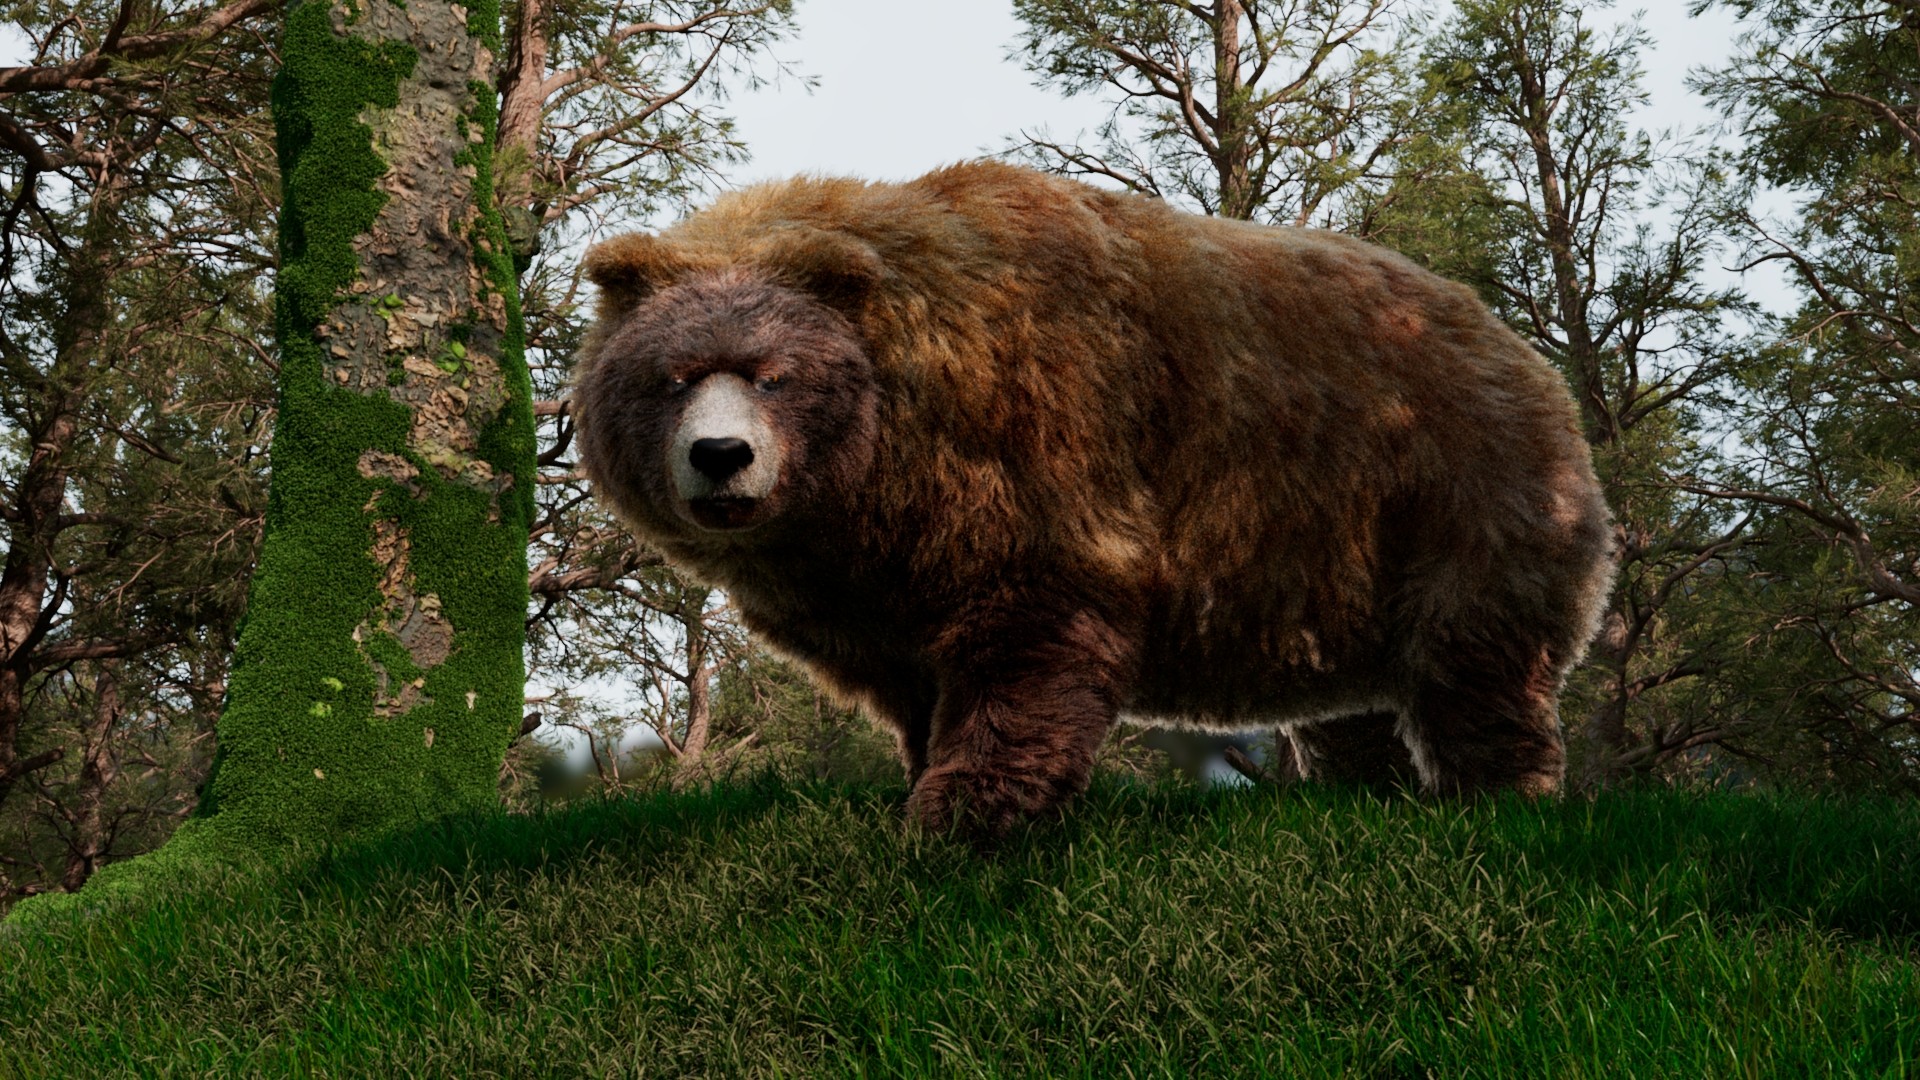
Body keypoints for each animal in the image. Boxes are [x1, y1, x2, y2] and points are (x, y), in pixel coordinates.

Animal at [571, 161, 1616, 835]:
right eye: (672, 377)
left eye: (772, 374)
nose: (721, 456)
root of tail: (1522, 348)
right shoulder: (884, 577)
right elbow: (912, 684)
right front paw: (918, 778)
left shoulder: (1044, 456)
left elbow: (1030, 640)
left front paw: (965, 813)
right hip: (1336, 565)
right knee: (1353, 705)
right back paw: (1366, 795)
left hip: (1447, 495)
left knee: (1472, 662)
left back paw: (1499, 802)